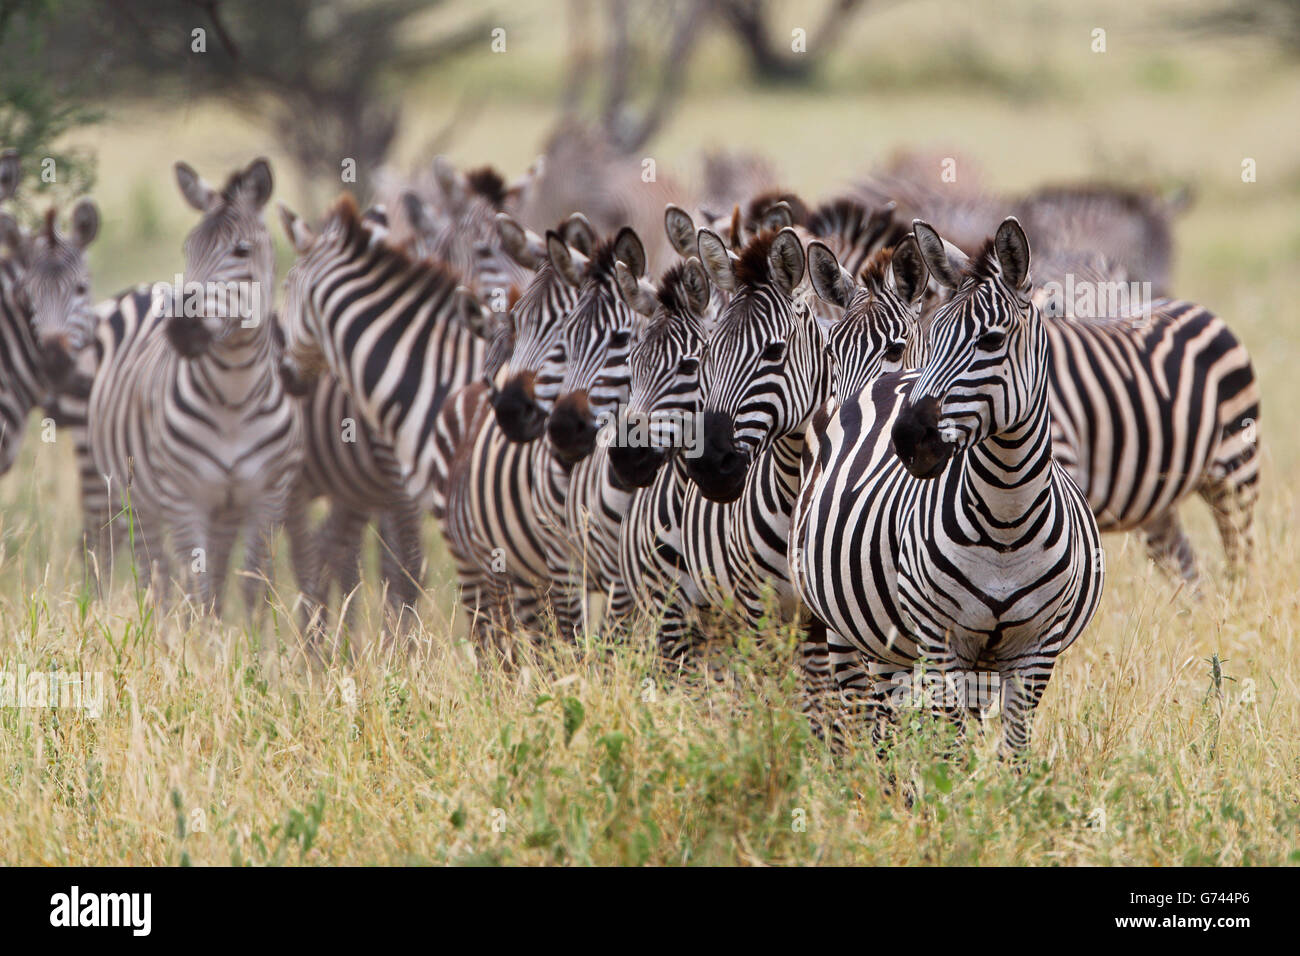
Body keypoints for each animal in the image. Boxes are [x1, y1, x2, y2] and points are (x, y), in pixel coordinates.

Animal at [90, 158, 303, 612]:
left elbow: (251, 585)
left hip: (225, 509)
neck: (234, 395)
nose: (181, 328)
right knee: (156, 574)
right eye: (189, 250)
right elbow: (197, 587)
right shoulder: (183, 498)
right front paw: (199, 633)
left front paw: (250, 633)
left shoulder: (269, 496)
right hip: (135, 499)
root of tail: (146, 287)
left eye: (241, 250)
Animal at [789, 217, 1106, 757]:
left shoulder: (1037, 650)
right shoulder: (940, 641)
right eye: (934, 335)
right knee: (870, 720)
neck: (1006, 519)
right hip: (852, 634)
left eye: (992, 341)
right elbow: (948, 749)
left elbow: (1012, 752)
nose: (907, 437)